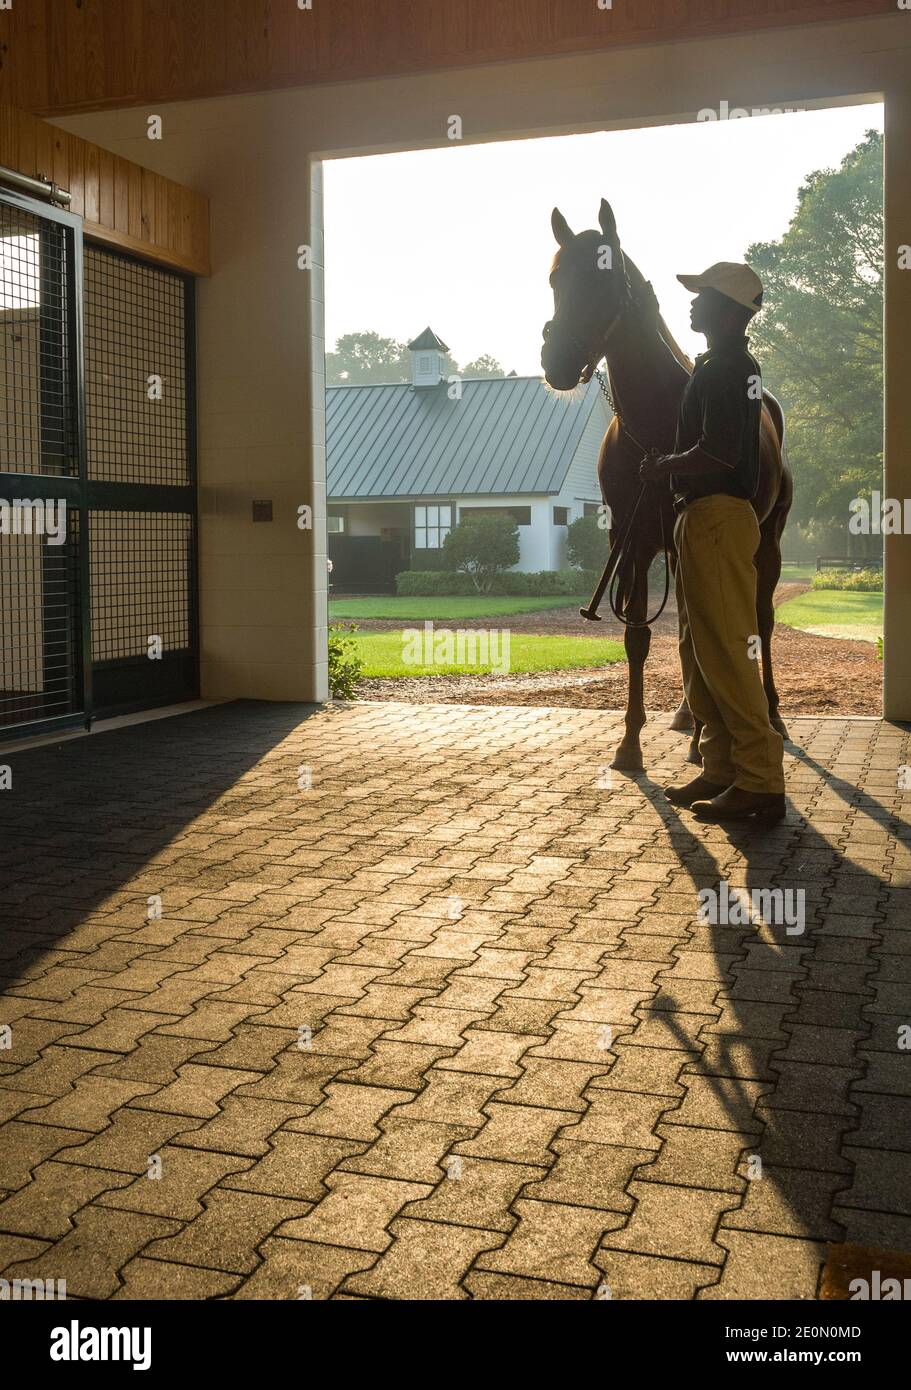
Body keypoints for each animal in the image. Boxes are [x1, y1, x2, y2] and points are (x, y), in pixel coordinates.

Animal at [541, 198, 792, 772]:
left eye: (606, 279)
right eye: (555, 279)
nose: (556, 361)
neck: (655, 422)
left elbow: (709, 637)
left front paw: (703, 739)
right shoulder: (633, 541)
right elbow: (641, 636)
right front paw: (630, 743)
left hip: (766, 542)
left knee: (761, 621)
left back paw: (767, 713)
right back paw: (687, 717)